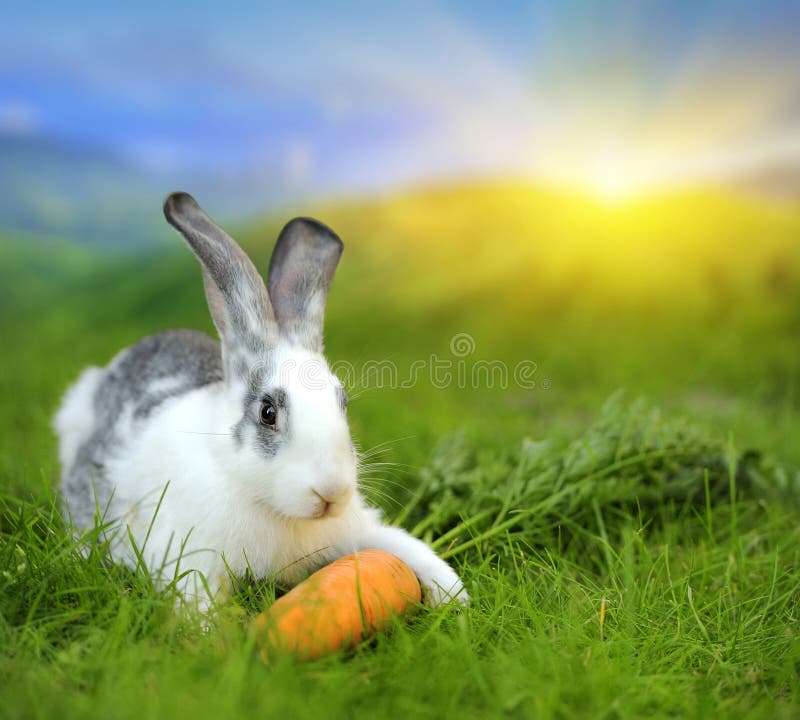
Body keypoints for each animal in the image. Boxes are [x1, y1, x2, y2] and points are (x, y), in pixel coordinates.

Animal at [54, 192, 467, 609]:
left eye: (344, 402)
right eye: (268, 413)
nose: (330, 493)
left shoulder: (358, 529)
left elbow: (404, 545)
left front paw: (454, 595)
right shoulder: (193, 559)